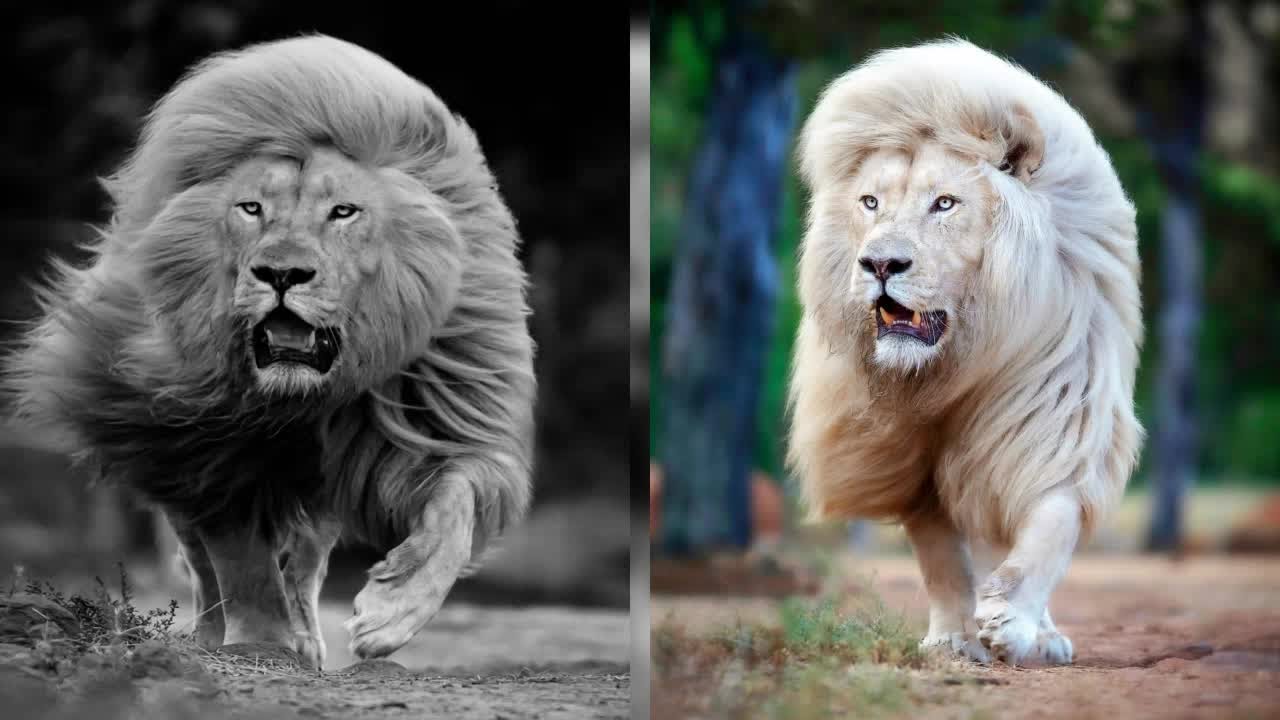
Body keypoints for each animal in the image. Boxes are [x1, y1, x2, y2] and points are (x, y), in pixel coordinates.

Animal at [3, 35, 535, 669]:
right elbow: (240, 561)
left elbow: (454, 513)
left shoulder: (436, 415)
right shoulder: (202, 446)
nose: (281, 273)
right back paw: (214, 635)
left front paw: (390, 614)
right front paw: (261, 642)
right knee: (204, 564)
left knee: (304, 561)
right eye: (252, 208)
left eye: (343, 211)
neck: (295, 399)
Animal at [787, 40, 1143, 666]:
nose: (879, 264)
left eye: (945, 203)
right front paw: (953, 640)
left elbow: (1050, 528)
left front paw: (1013, 623)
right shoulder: (906, 458)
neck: (956, 363)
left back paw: (1042, 637)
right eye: (870, 202)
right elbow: (942, 560)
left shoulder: (1058, 420)